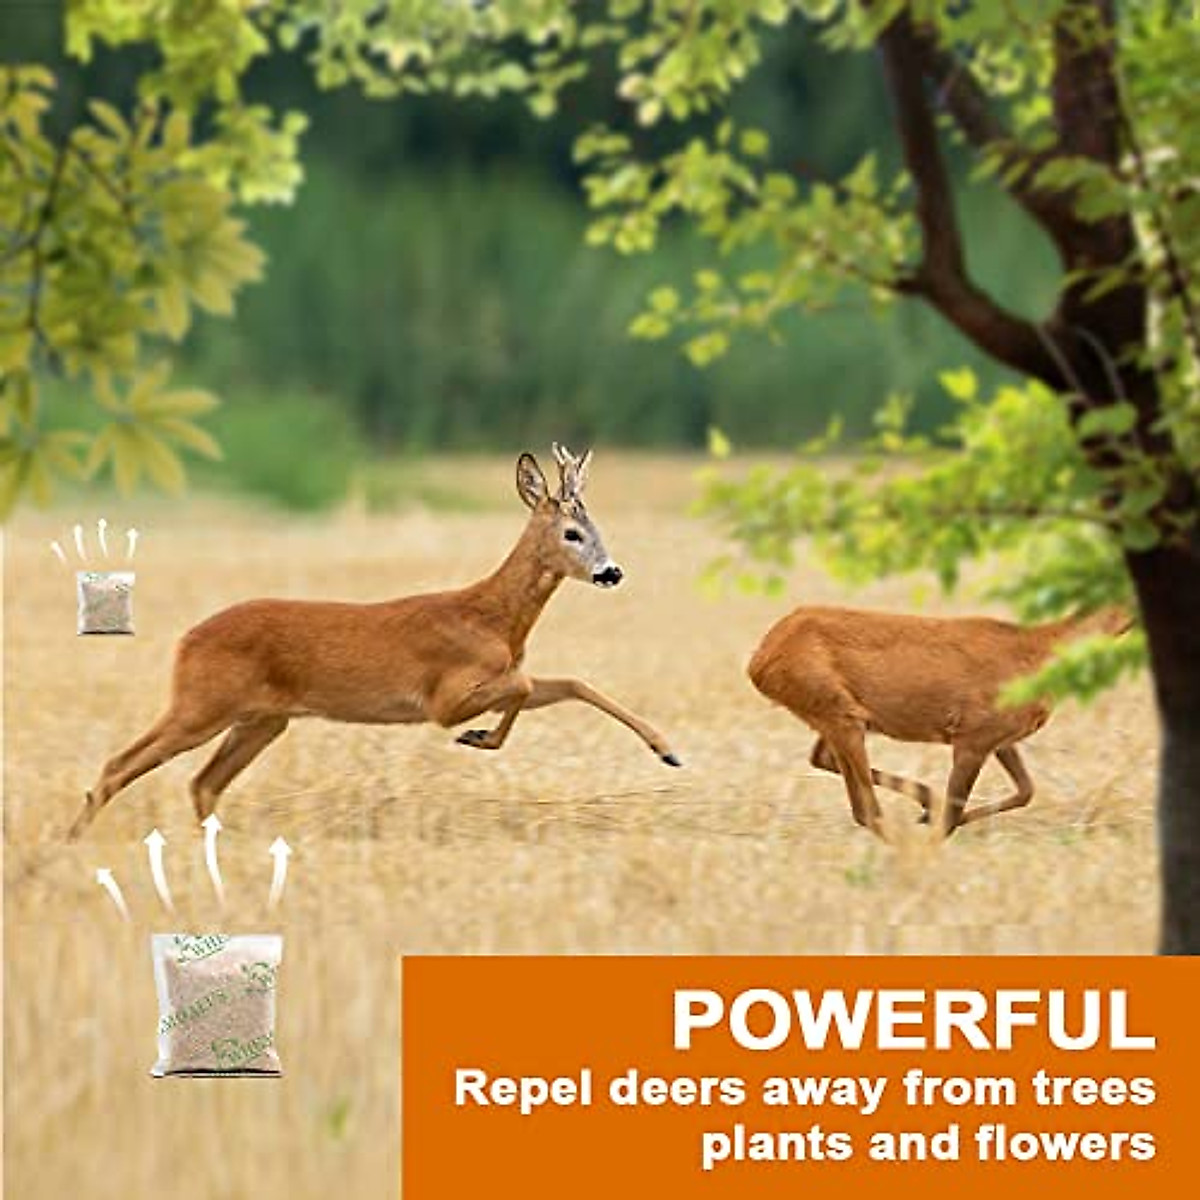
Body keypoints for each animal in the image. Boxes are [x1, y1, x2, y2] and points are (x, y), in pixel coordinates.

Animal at [68, 445, 681, 839]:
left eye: (599, 530)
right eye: (572, 533)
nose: (611, 572)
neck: (492, 618)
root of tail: (184, 641)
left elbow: (569, 682)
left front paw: (667, 750)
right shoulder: (443, 698)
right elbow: (526, 685)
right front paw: (480, 738)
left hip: (261, 720)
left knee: (201, 784)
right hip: (202, 704)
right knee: (119, 765)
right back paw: (72, 843)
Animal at [746, 604, 1133, 839]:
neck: (1039, 653)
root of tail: (758, 661)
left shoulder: (1000, 737)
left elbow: (1026, 790)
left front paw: (932, 817)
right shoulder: (974, 733)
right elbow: (954, 811)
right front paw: (935, 831)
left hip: (833, 713)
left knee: (824, 760)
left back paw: (924, 806)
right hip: (835, 707)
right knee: (865, 809)